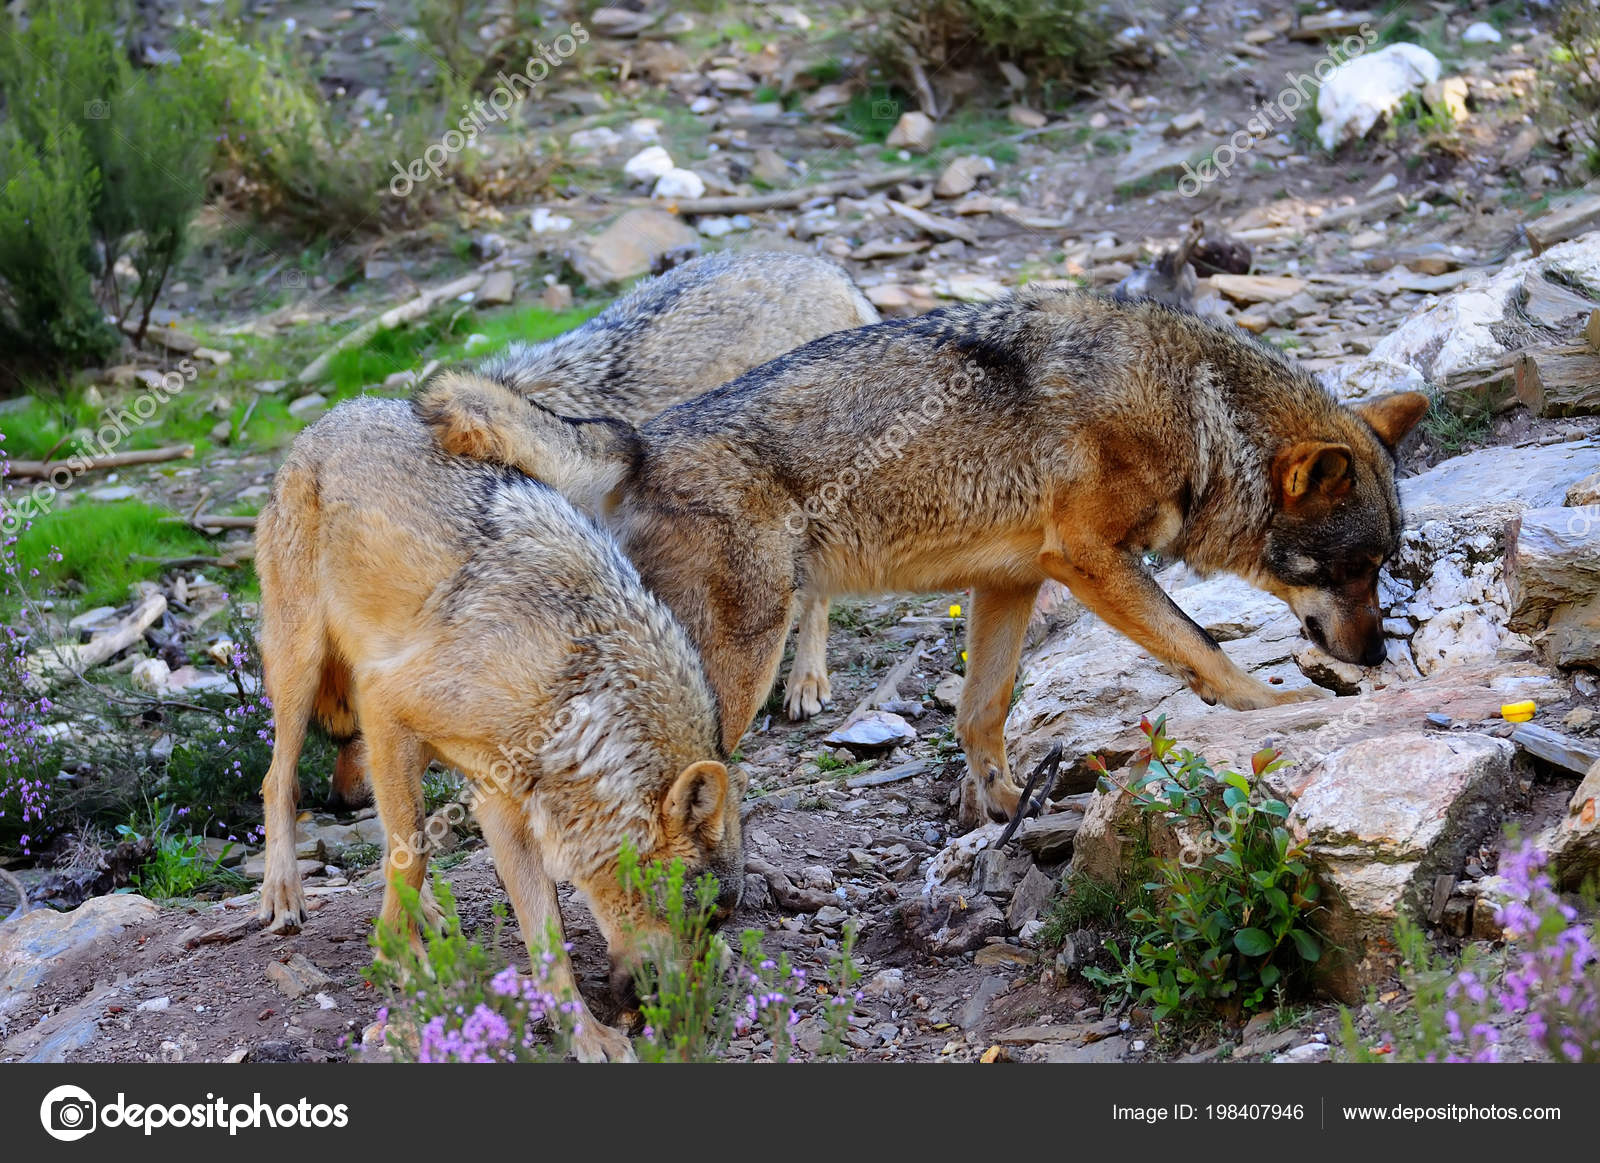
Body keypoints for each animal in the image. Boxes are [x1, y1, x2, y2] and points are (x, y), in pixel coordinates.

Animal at [254, 394, 742, 1061]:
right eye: (707, 920)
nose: (691, 1023)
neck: (573, 681)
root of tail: (340, 411)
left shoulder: (502, 803)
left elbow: (547, 934)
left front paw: (584, 1032)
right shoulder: (387, 703)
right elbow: (412, 855)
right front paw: (399, 962)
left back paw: (427, 914)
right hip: (302, 671)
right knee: (281, 782)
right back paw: (284, 892)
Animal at [419, 288, 1429, 828]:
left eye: (1383, 565)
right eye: (1352, 568)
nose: (1379, 654)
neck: (1196, 412)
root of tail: (639, 440)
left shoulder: (1012, 579)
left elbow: (981, 711)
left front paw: (1006, 803)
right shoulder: (1090, 559)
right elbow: (1200, 643)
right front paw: (1270, 704)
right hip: (738, 666)